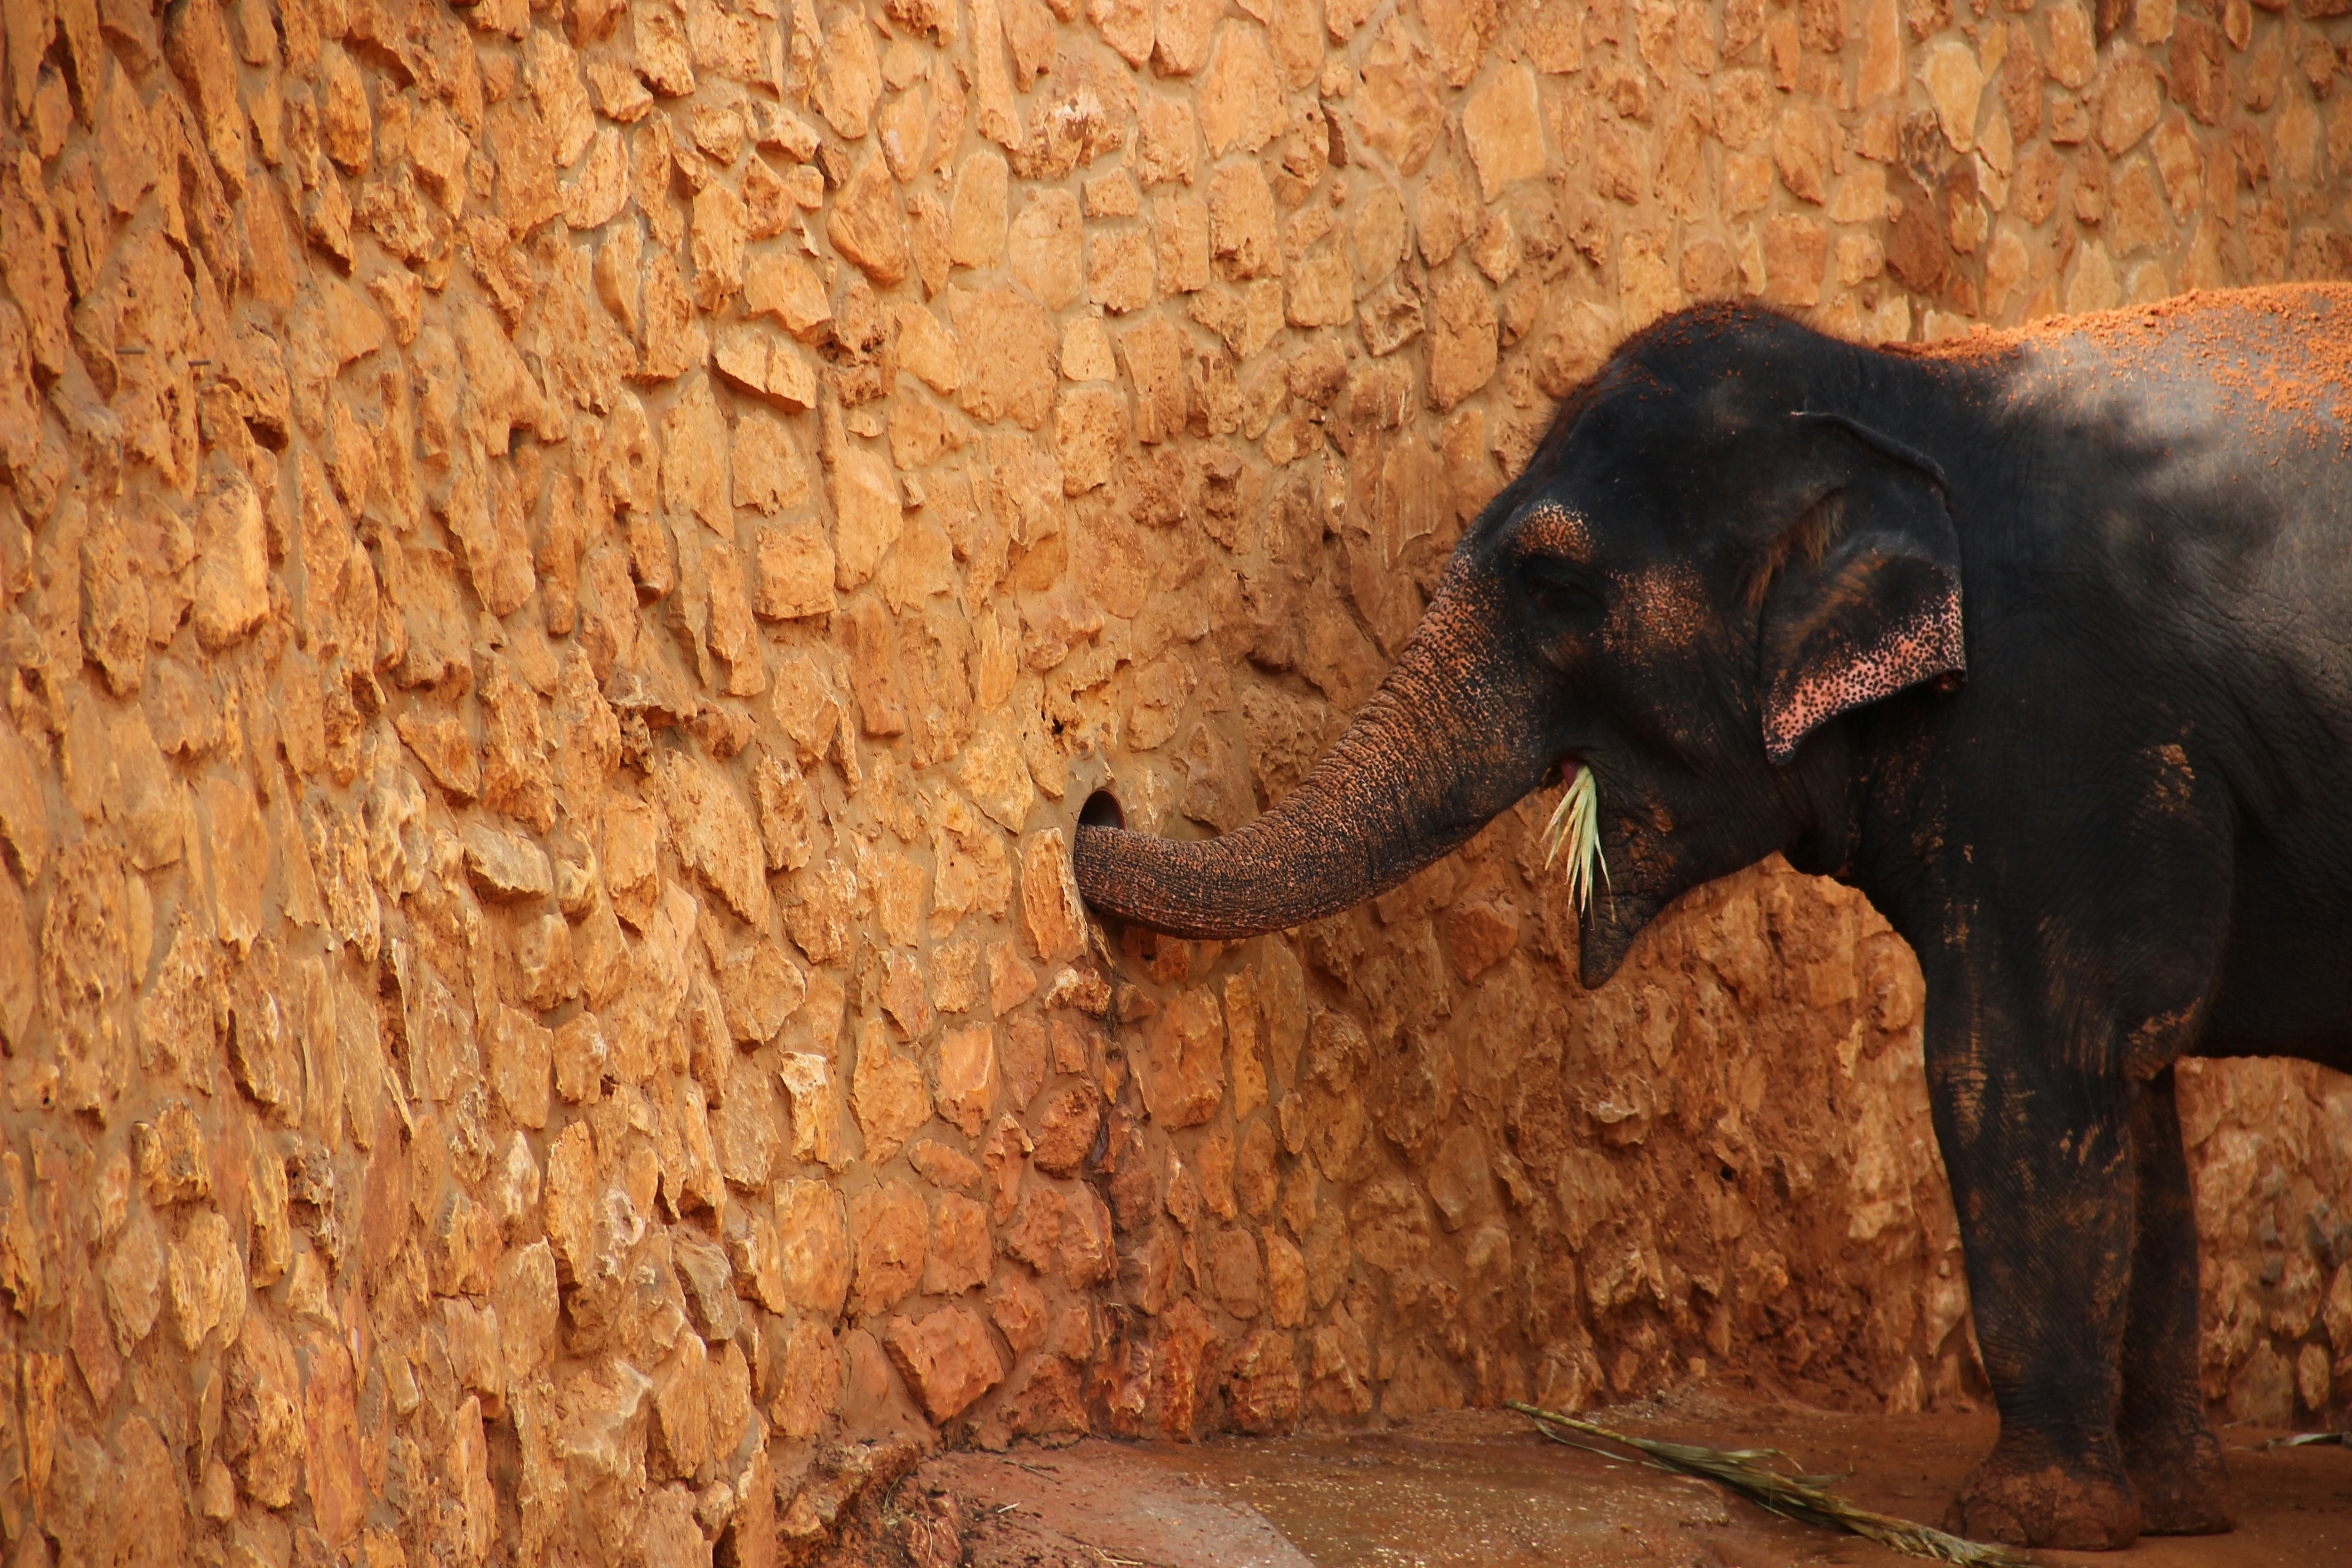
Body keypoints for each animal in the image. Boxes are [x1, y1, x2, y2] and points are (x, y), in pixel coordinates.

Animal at [1071, 284, 2352, 1550]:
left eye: (1551, 579)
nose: (1093, 810)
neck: (1906, 382)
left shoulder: (2058, 725)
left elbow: (2019, 1062)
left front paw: (2028, 1519)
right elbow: (2132, 1085)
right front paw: (2173, 1509)